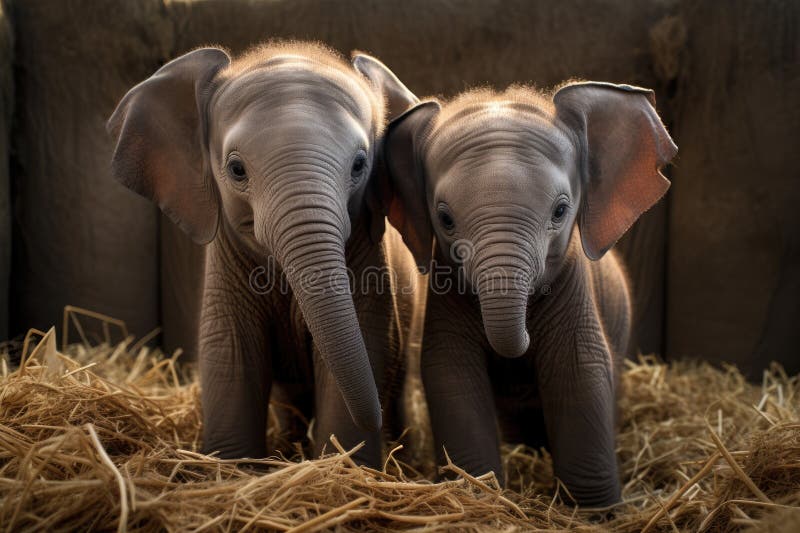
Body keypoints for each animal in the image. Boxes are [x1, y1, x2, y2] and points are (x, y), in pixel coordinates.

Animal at [107, 42, 422, 466]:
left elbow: (371, 345)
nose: (374, 420)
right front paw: (233, 467)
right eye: (237, 169)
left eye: (360, 164)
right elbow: (230, 353)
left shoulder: (368, 258)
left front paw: (343, 462)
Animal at [383, 82, 677, 507]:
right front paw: (478, 496)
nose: (518, 351)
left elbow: (579, 368)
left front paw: (594, 511)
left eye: (560, 211)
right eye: (445, 219)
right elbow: (450, 370)